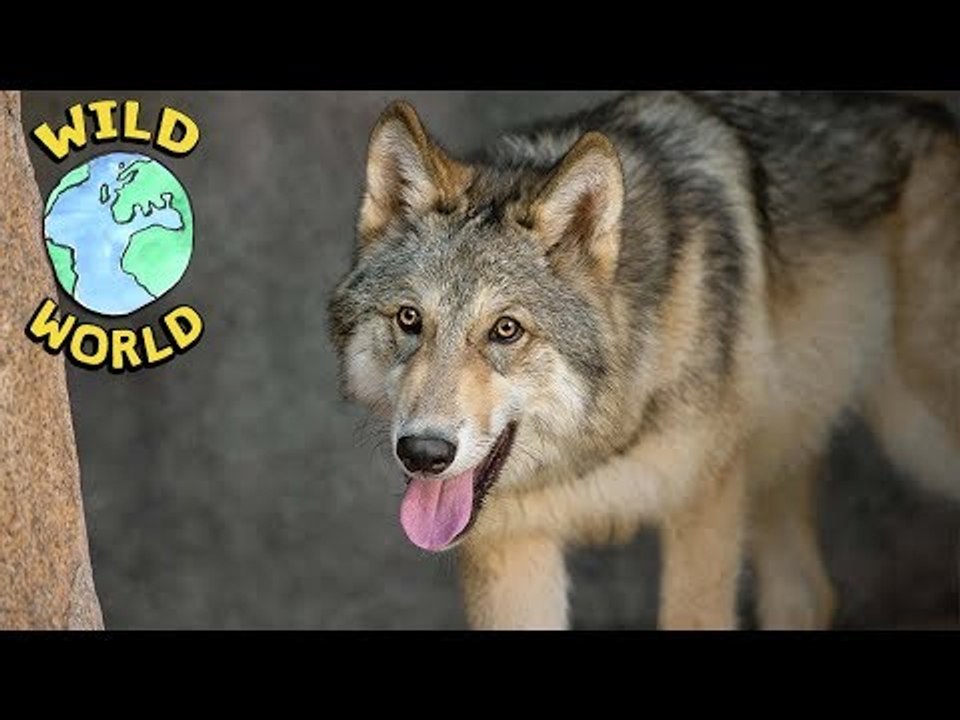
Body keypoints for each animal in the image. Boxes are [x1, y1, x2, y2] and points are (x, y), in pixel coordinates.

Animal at [327, 92, 960, 629]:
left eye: (506, 330)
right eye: (410, 319)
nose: (423, 453)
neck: (591, 446)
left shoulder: (705, 511)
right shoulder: (511, 548)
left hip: (917, 430)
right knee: (807, 592)